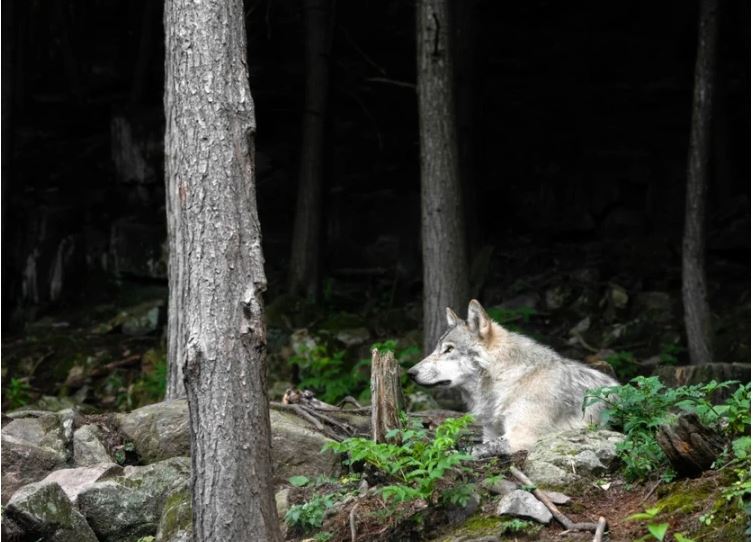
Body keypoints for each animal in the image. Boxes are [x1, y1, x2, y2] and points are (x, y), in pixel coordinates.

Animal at [407, 300, 618, 457]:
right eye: (438, 348)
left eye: (449, 349)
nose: (410, 373)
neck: (511, 379)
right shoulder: (490, 432)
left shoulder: (521, 438)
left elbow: (471, 449)